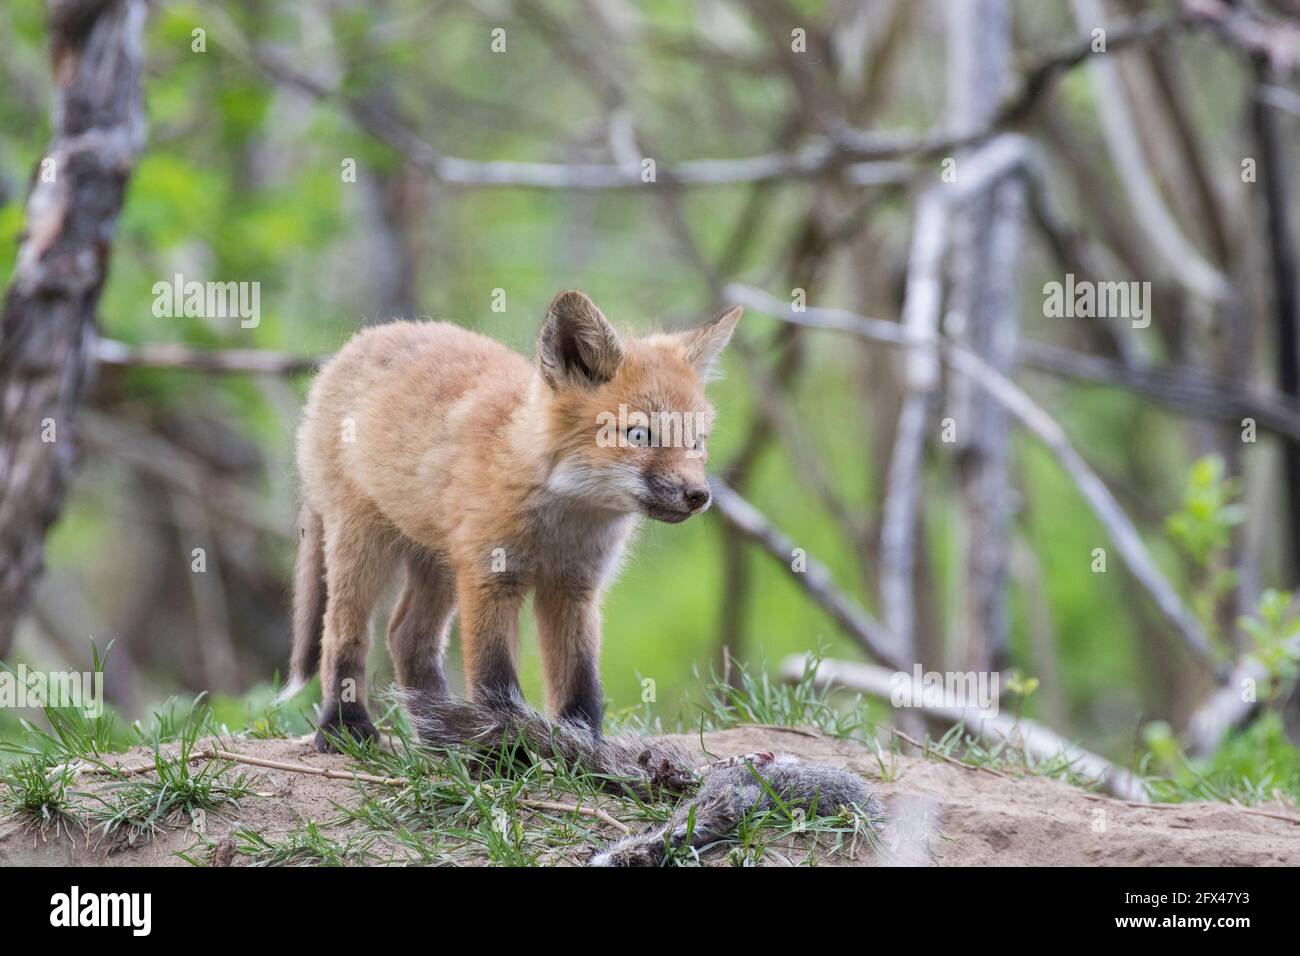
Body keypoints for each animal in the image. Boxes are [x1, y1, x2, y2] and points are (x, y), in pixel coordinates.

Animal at [286, 290, 741, 750]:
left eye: (697, 441)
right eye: (638, 435)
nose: (699, 496)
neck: (563, 521)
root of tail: (355, 344)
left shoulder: (574, 589)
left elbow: (581, 683)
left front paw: (584, 750)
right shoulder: (490, 578)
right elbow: (494, 680)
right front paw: (505, 751)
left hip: (441, 563)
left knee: (406, 636)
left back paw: (439, 736)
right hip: (364, 546)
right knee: (341, 631)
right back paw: (343, 726)